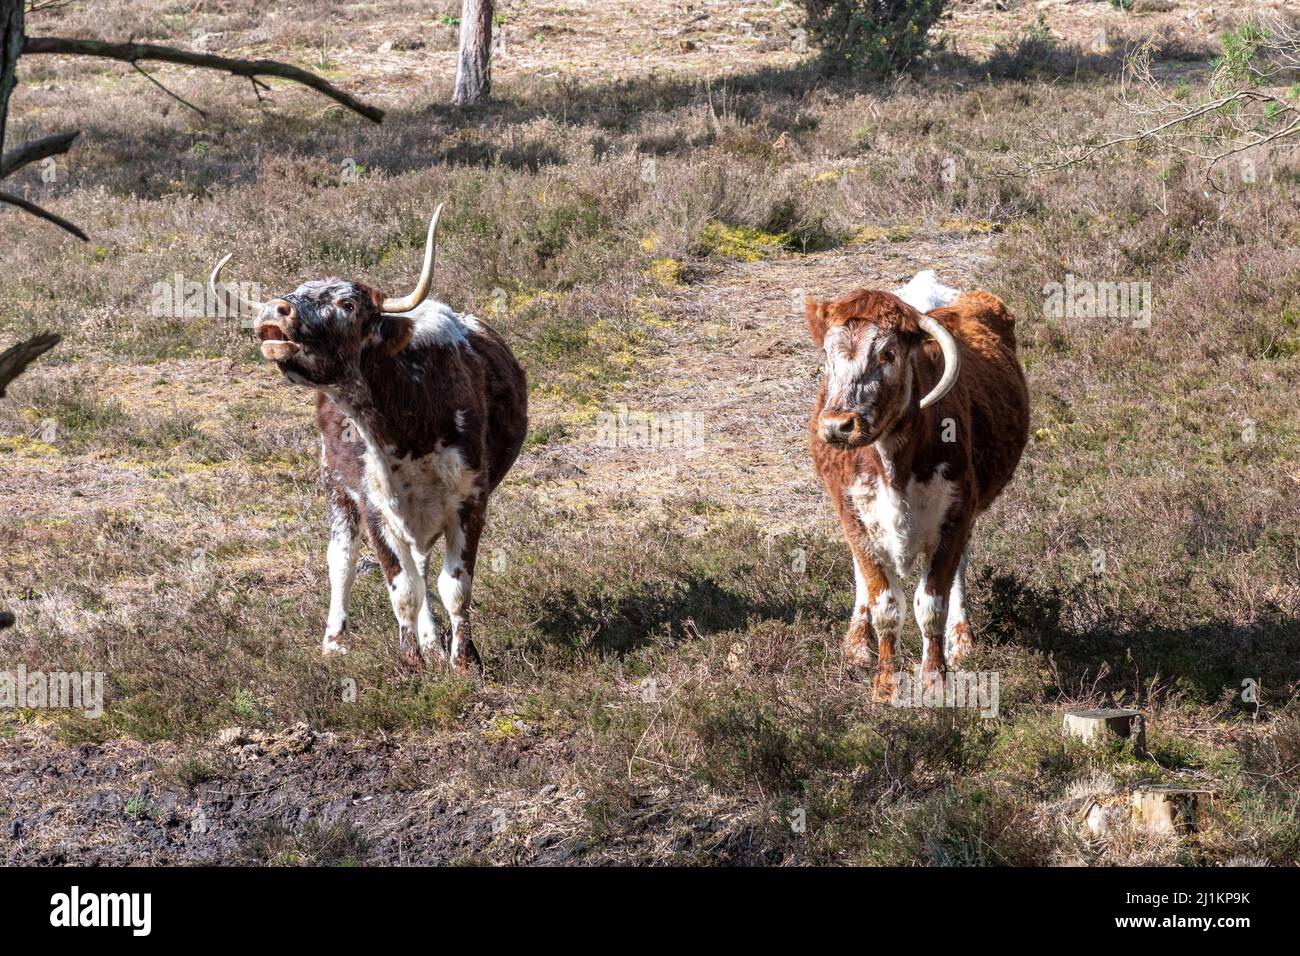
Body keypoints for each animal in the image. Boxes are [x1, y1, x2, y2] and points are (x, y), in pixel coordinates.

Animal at [209, 205, 527, 674]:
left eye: (347, 303)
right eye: (298, 292)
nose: (275, 309)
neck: (408, 422)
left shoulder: (470, 501)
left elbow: (454, 586)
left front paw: (462, 659)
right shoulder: (375, 508)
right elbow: (403, 591)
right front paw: (411, 662)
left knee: (421, 564)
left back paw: (433, 639)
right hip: (335, 487)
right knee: (341, 560)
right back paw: (335, 639)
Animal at [806, 271, 1029, 701]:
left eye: (888, 354)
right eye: (827, 354)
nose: (838, 425)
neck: (894, 465)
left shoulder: (954, 515)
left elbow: (931, 604)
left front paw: (935, 679)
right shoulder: (855, 517)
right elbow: (885, 604)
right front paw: (884, 684)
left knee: (959, 569)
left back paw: (963, 641)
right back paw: (857, 644)